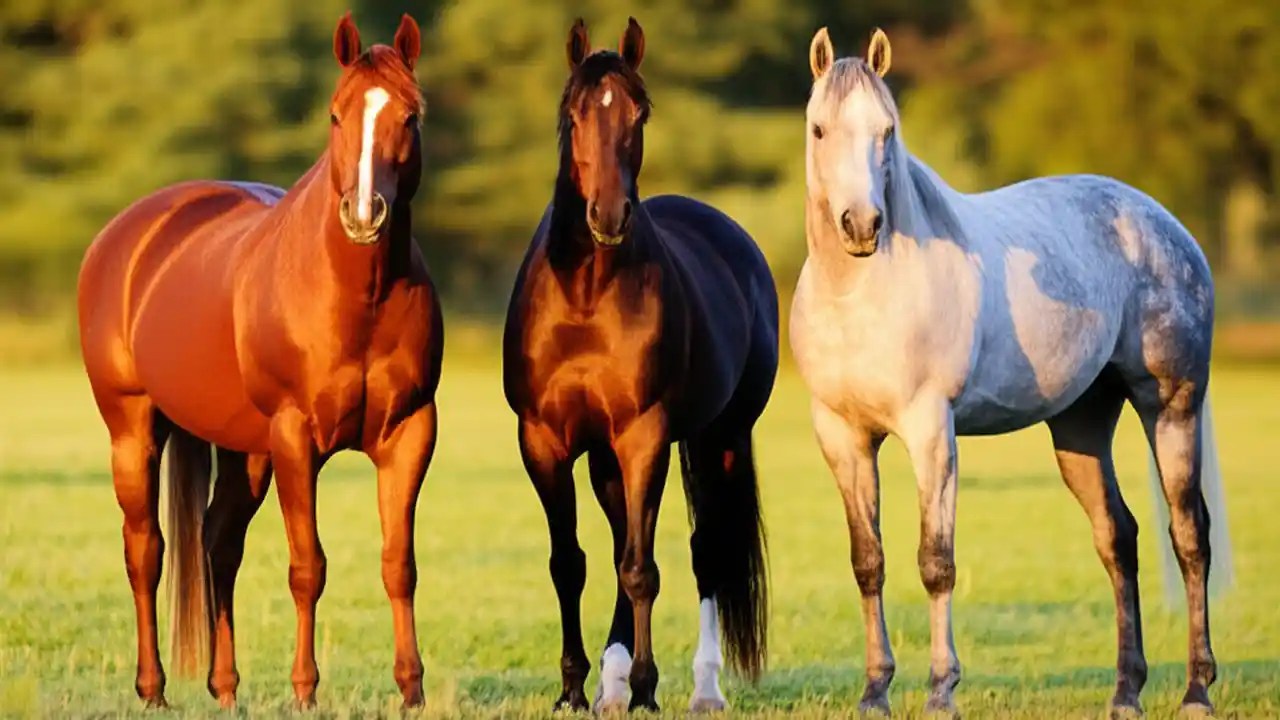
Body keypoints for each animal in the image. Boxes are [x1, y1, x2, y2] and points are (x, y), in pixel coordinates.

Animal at [76, 13, 442, 710]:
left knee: (218, 544)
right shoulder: (296, 438)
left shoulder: (409, 433)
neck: (358, 297)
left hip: (245, 450)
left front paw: (411, 690)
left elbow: (400, 563)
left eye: (410, 117)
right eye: (335, 115)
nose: (364, 214)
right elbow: (308, 567)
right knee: (146, 551)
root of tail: (129, 233)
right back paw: (153, 689)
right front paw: (305, 691)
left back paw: (224, 688)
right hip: (133, 430)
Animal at [502, 17, 779, 714]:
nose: (608, 215)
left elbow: (642, 569)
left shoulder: (645, 435)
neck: (586, 296)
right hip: (607, 457)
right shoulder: (543, 441)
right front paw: (574, 689)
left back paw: (703, 688)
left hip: (718, 438)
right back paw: (611, 683)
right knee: (622, 540)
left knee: (706, 552)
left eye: (640, 112)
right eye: (574, 114)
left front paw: (648, 690)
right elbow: (570, 564)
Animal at [790, 27, 1230, 718]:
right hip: (1080, 428)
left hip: (1172, 407)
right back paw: (1125, 691)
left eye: (887, 129)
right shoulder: (841, 436)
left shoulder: (930, 432)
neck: (861, 294)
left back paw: (1196, 689)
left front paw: (941, 690)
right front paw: (874, 691)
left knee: (1189, 535)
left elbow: (935, 560)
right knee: (1119, 538)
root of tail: (1163, 224)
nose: (861, 226)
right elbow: (869, 562)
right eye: (819, 128)